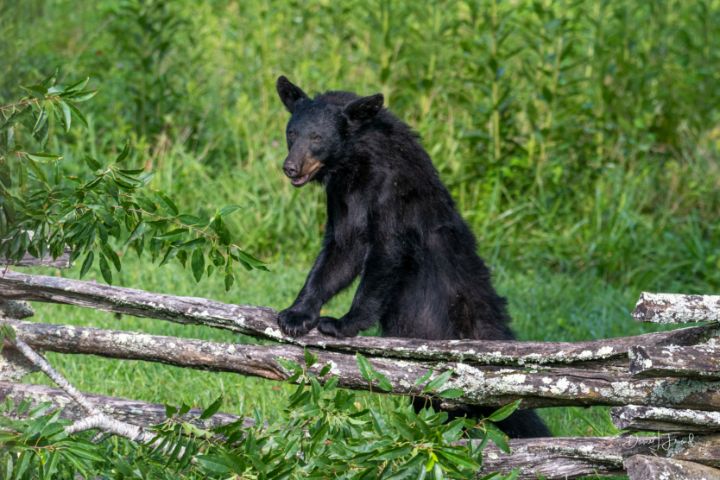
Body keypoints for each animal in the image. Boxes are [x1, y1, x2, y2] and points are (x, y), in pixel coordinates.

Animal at [275, 76, 549, 438]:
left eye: (317, 137)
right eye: (292, 133)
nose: (290, 167)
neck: (357, 165)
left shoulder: (393, 191)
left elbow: (386, 252)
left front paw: (342, 322)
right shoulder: (343, 197)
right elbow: (340, 252)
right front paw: (296, 315)